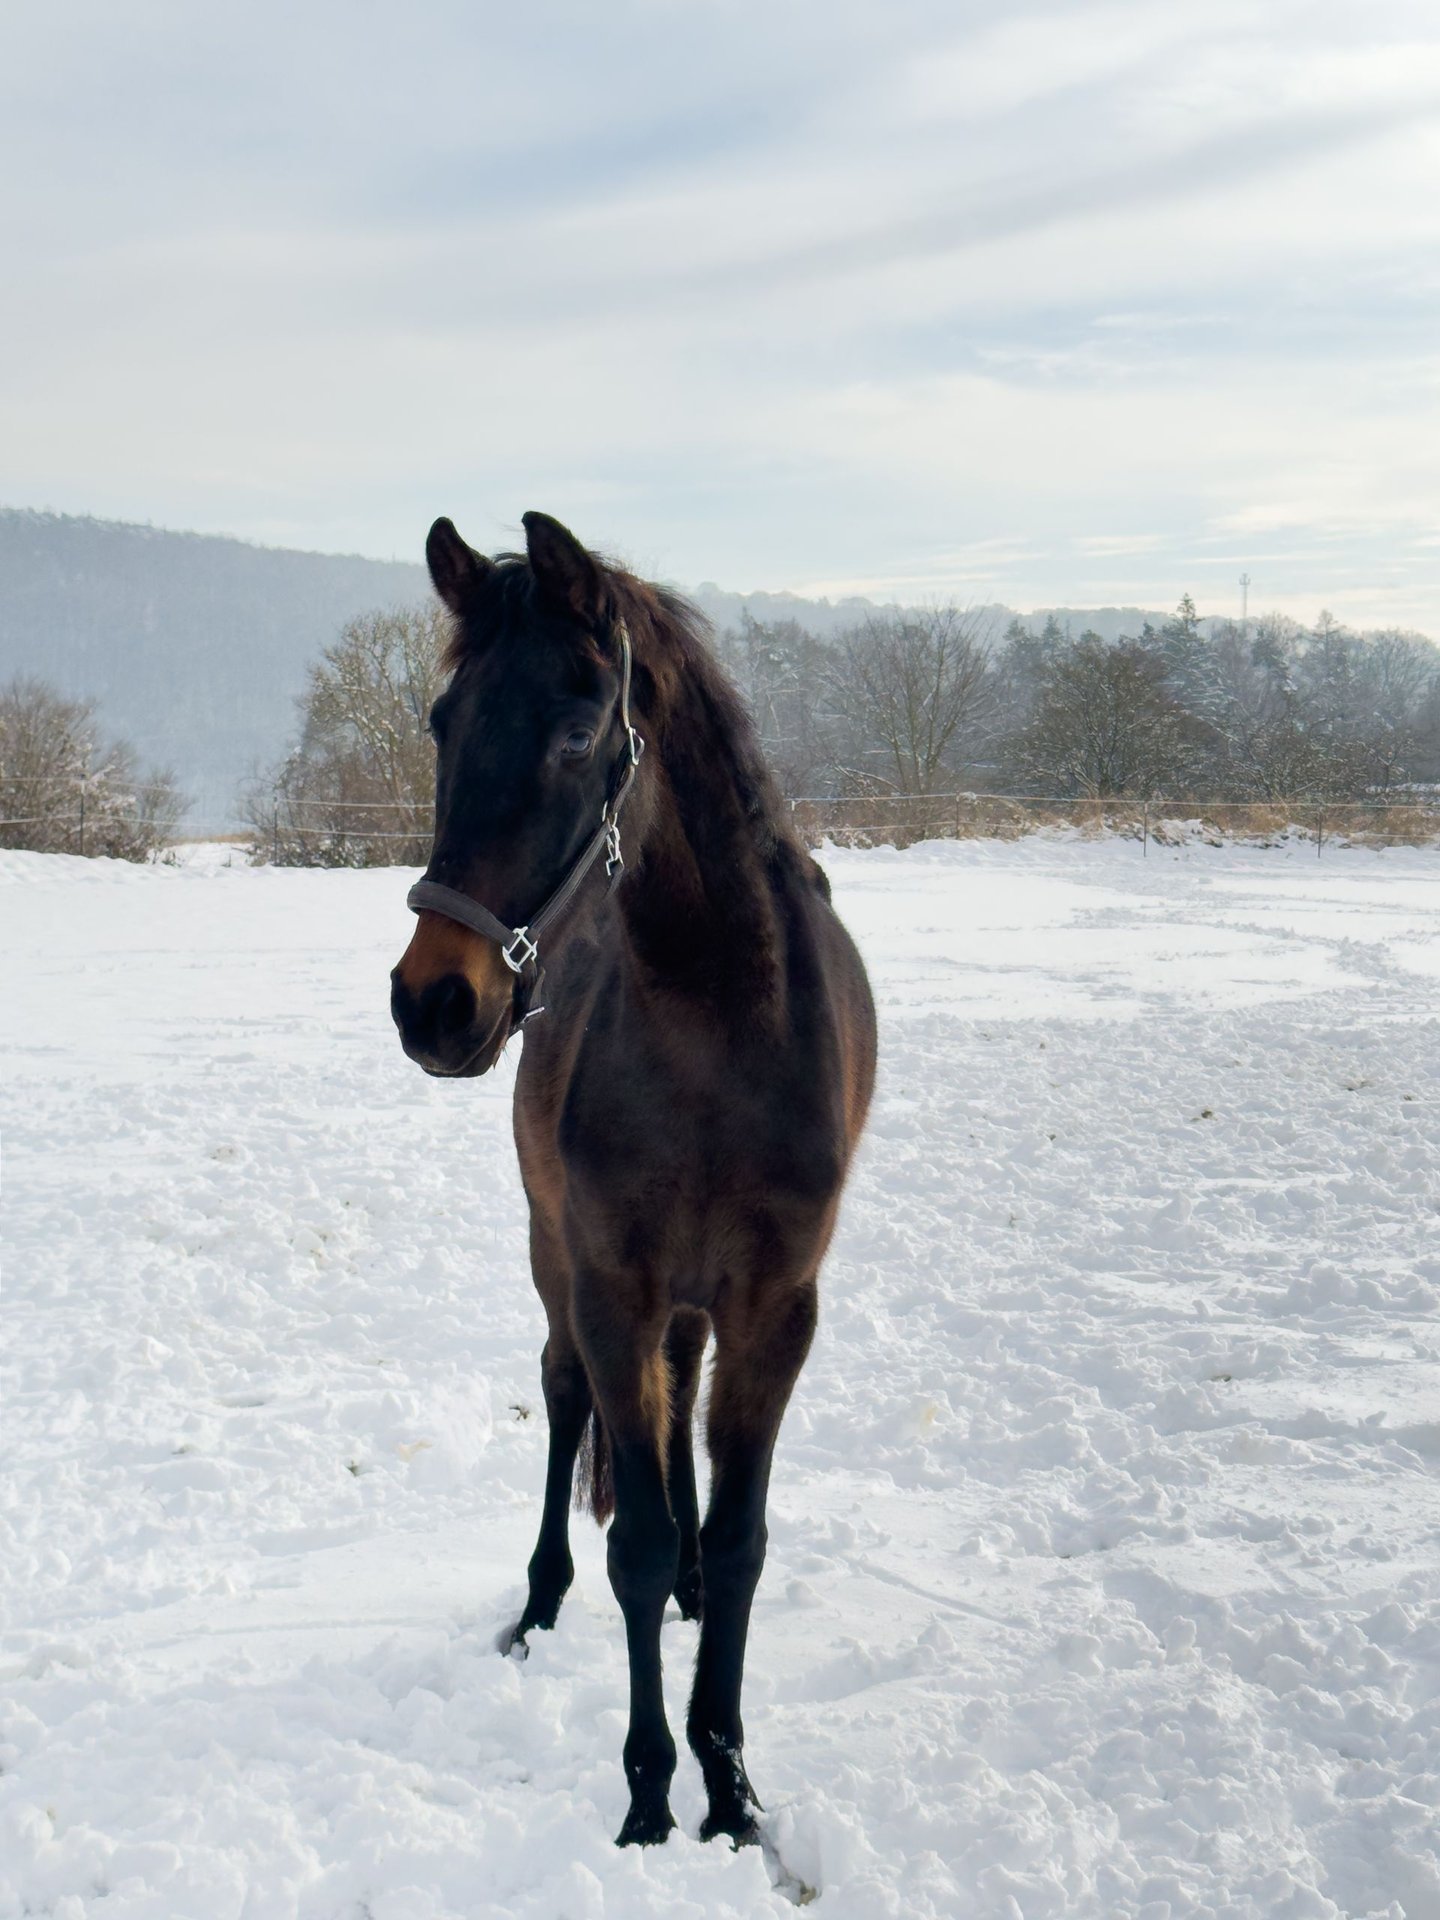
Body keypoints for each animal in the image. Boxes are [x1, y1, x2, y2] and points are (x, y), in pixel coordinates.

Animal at [390, 510, 876, 1850]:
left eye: (573, 732)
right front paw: (655, 1796)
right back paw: (537, 1608)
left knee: (676, 1412)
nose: (433, 1002)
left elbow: (739, 1531)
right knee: (568, 1403)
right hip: (557, 1258)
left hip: (693, 1302)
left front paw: (734, 1785)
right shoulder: (612, 1284)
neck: (718, 1025)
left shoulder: (777, 1306)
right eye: (443, 722)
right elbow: (640, 1545)